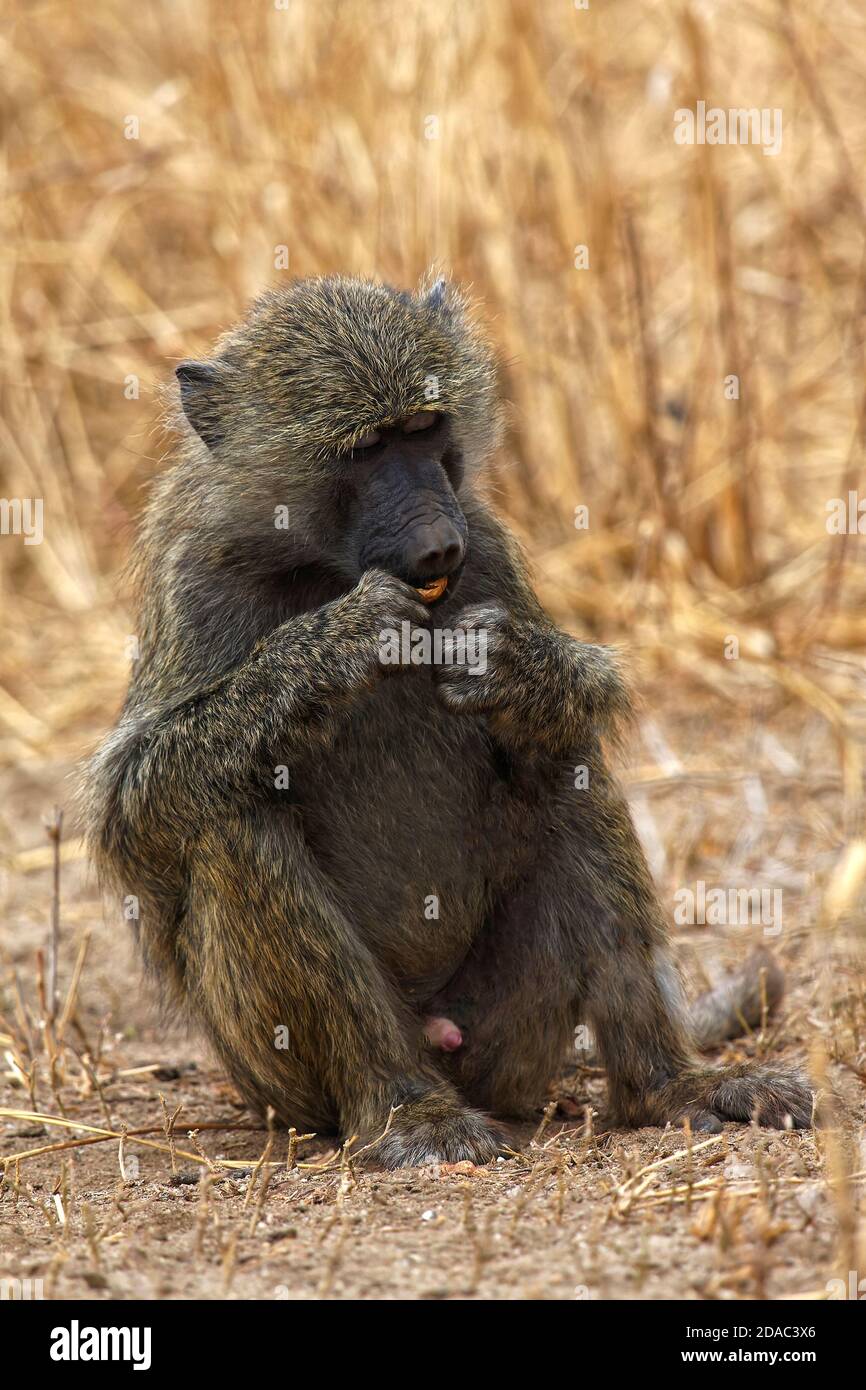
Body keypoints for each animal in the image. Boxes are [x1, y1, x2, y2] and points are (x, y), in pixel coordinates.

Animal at [85, 274, 813, 1168]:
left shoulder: (487, 544)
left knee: (566, 769)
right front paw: (333, 646)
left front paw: (517, 669)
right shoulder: (194, 577)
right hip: (274, 1075)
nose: (436, 544)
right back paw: (408, 1110)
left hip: (510, 1029)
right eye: (366, 450)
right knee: (233, 817)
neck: (317, 562)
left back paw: (669, 1086)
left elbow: (576, 701)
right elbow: (133, 801)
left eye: (425, 431)